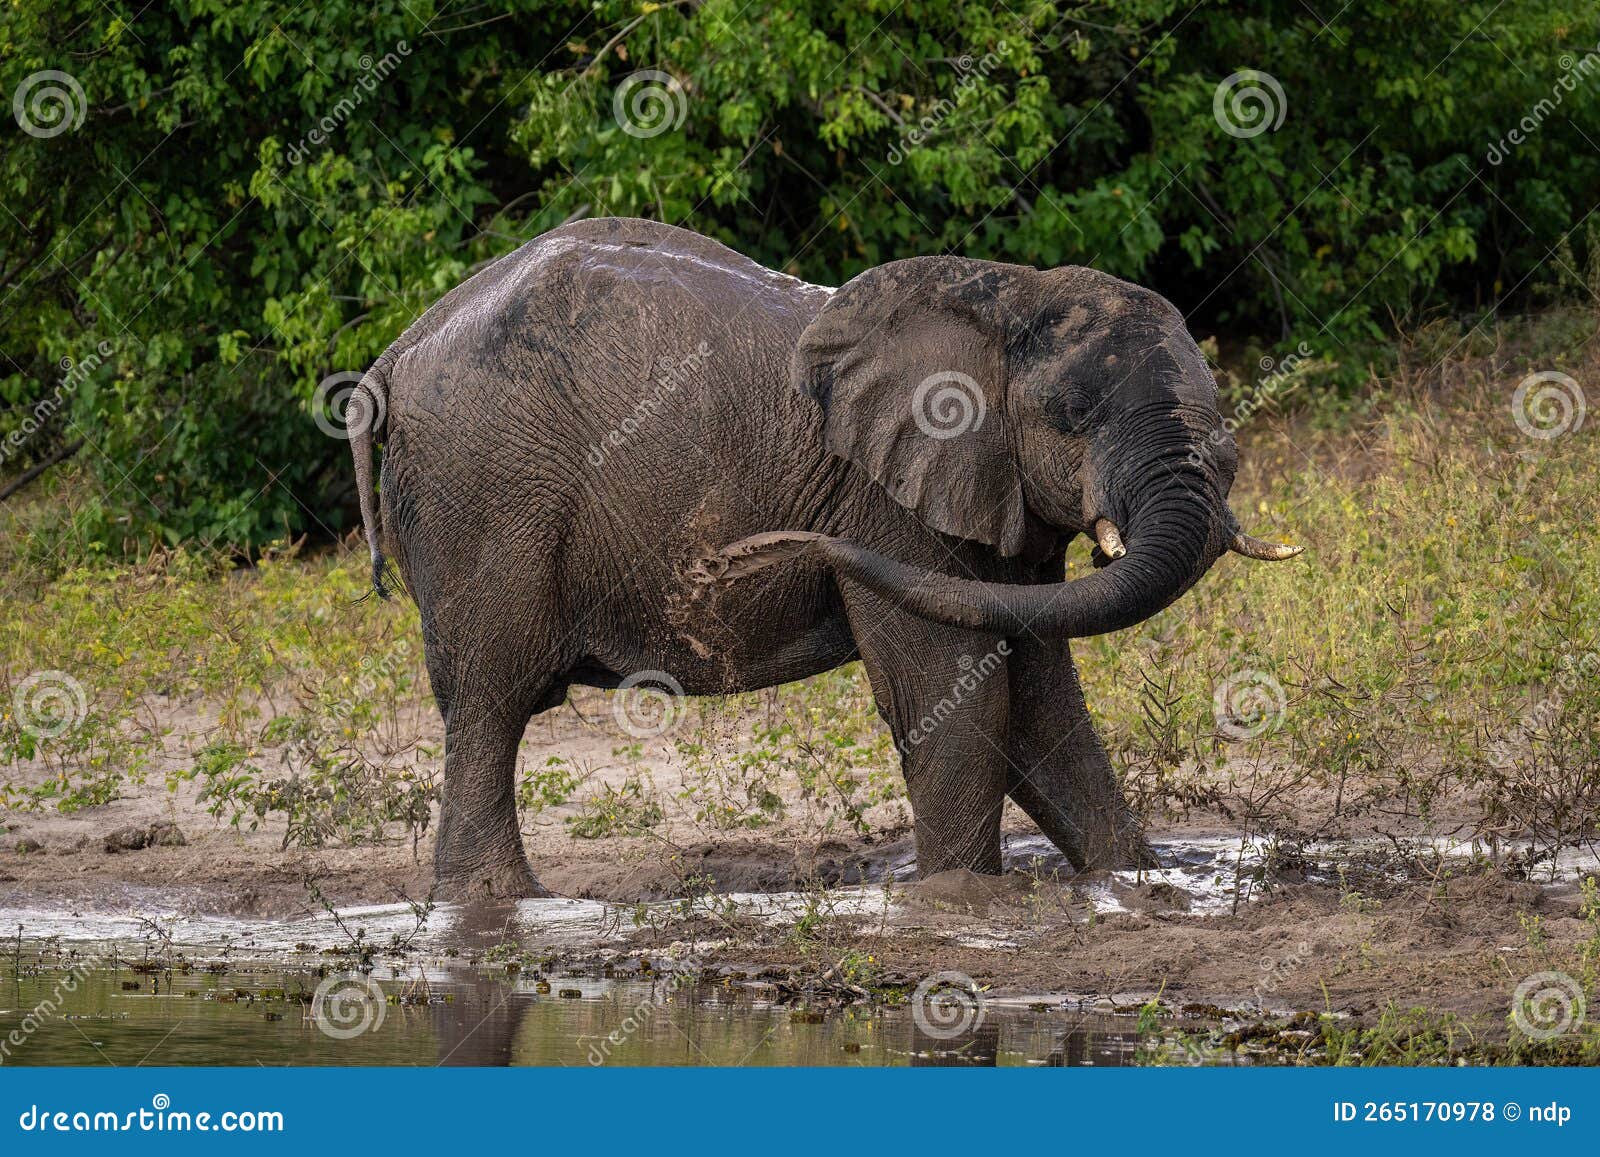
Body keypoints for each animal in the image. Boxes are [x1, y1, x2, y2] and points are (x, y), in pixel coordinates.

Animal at [346, 217, 1300, 899]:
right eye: (1072, 415)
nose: (734, 557)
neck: (1005, 295)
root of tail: (395, 353)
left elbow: (1039, 695)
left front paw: (1140, 879)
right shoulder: (889, 501)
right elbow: (957, 688)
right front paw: (961, 900)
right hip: (489, 496)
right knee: (490, 700)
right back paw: (502, 903)